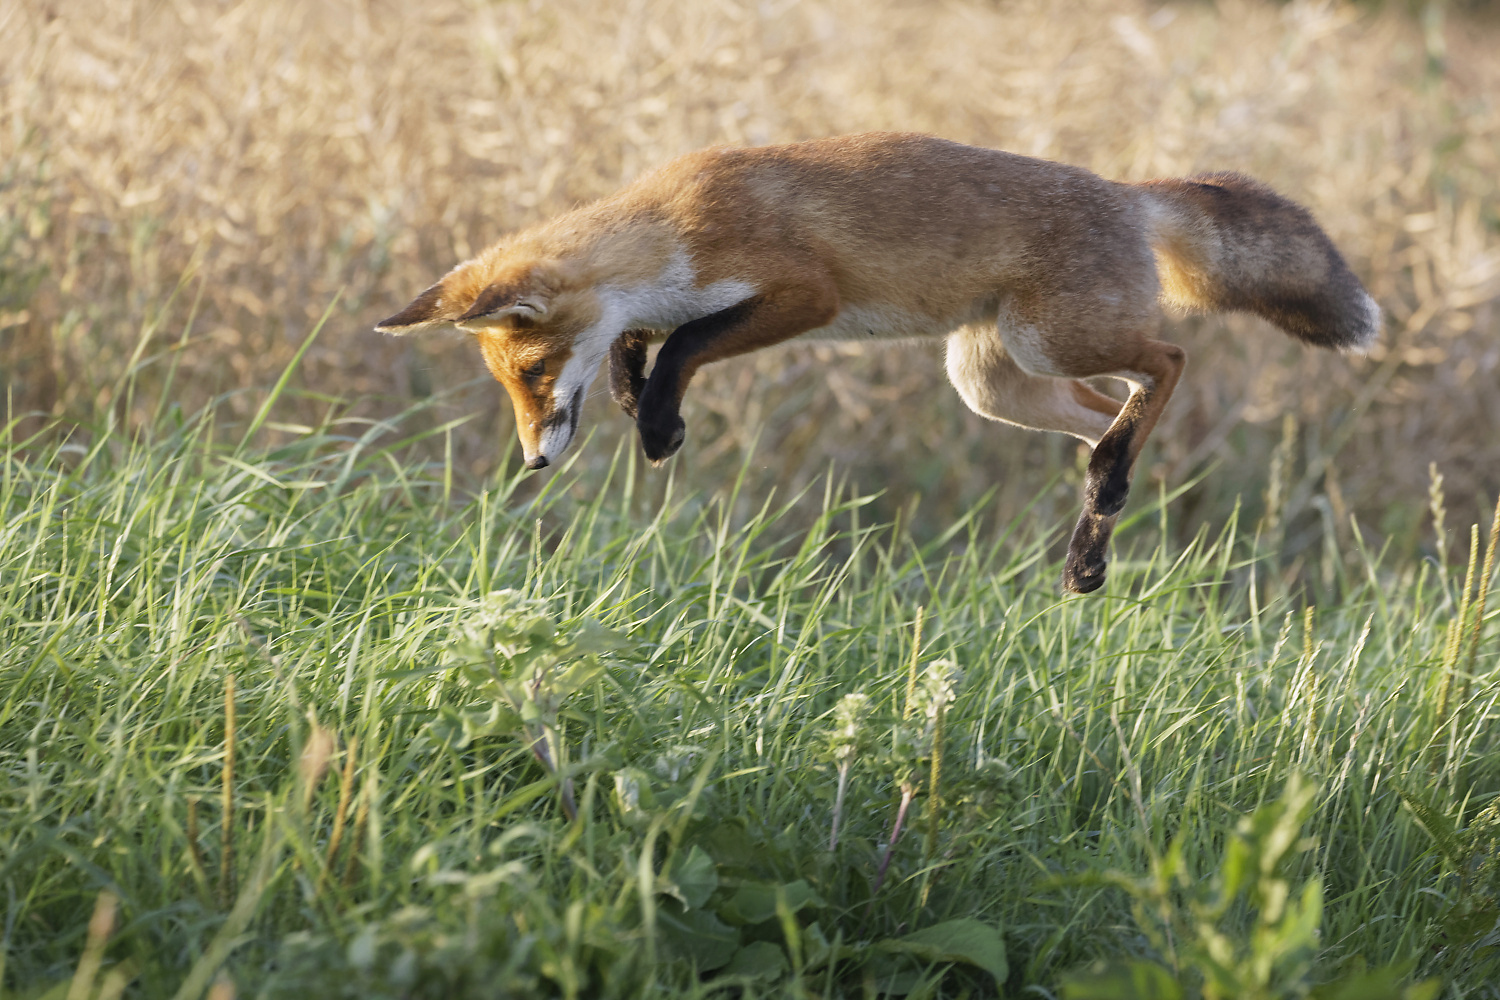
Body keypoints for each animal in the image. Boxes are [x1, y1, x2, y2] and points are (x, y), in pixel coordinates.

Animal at [376, 132, 1378, 594]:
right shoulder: (666, 307)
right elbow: (636, 346)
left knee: (1169, 360)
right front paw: (640, 403)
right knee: (1113, 416)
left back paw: (1108, 493)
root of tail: (1130, 194)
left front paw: (658, 421)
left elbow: (686, 346)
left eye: (532, 376)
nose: (532, 462)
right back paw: (1098, 526)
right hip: (994, 381)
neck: (668, 227)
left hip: (1046, 342)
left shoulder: (801, 294)